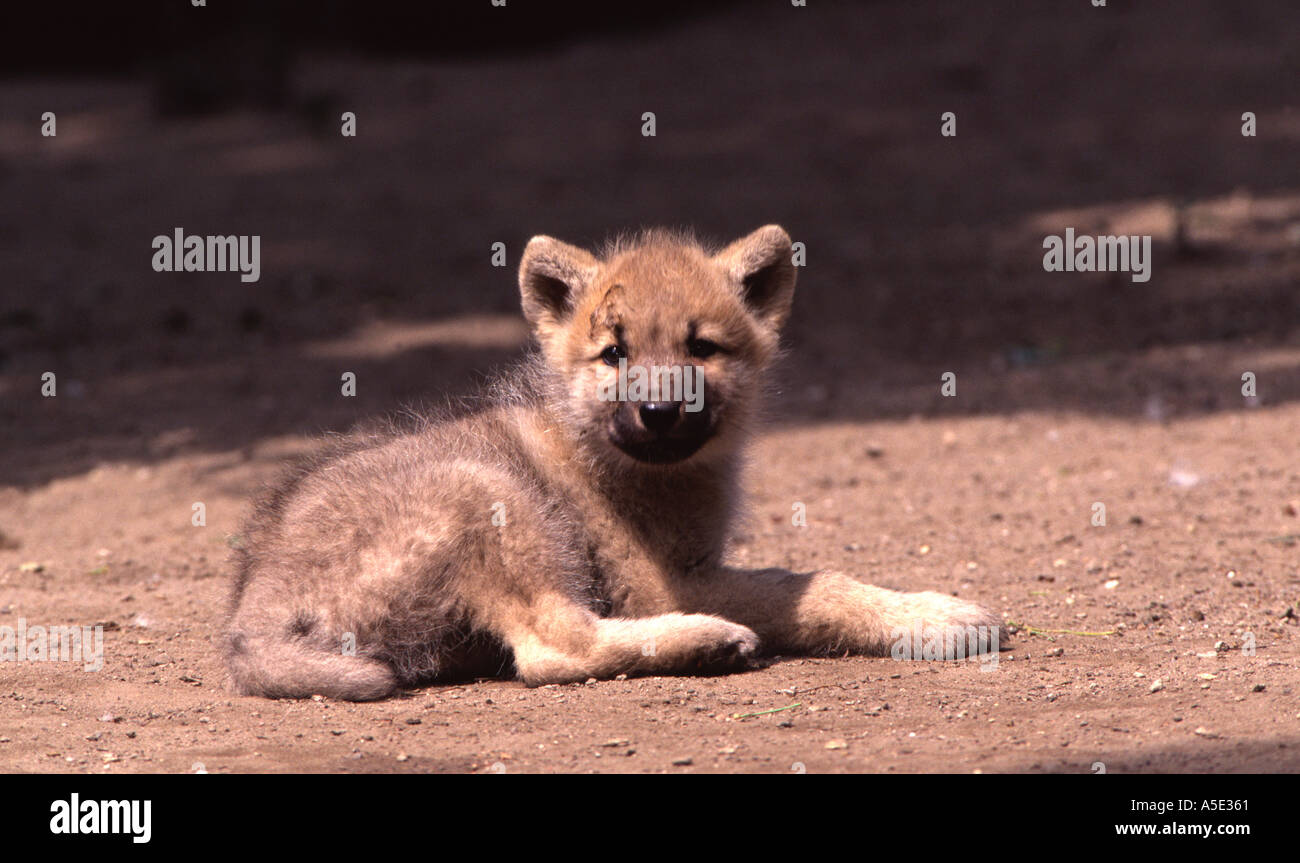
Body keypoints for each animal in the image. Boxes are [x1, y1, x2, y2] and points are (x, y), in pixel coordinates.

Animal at [222, 225, 1002, 700]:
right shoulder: (664, 583)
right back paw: (709, 641)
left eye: (701, 348)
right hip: (489, 496)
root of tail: (254, 608)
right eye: (614, 353)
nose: (658, 411)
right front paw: (932, 616)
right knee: (551, 649)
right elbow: (812, 587)